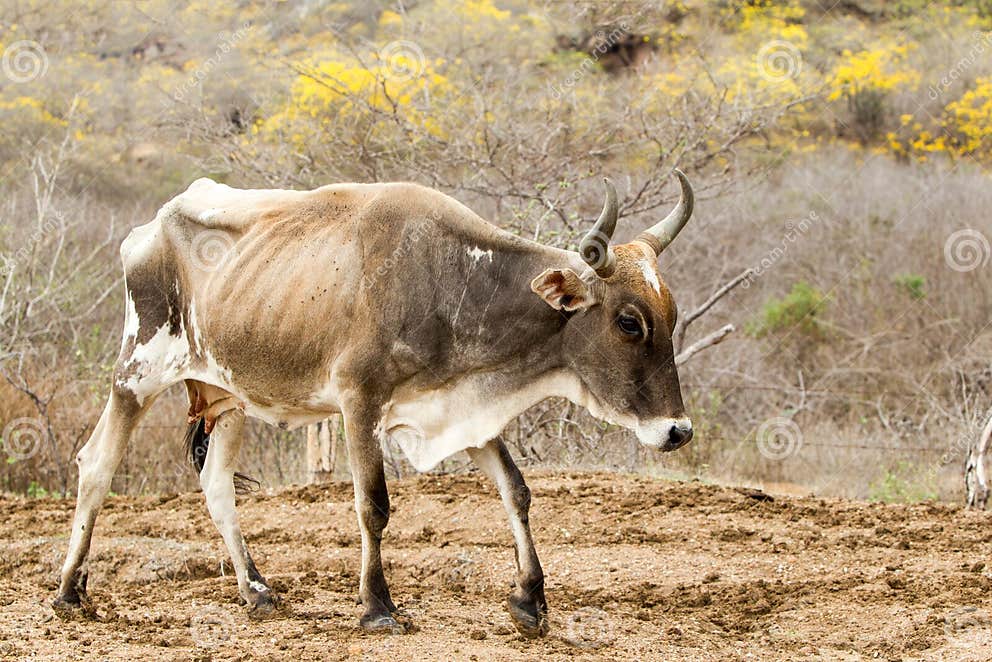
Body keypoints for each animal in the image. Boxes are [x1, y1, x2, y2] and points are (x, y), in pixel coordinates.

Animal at [53, 170, 696, 637]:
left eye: (671, 316)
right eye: (629, 321)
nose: (678, 431)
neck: (448, 276)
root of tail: (151, 227)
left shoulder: (462, 411)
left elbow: (516, 491)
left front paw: (530, 598)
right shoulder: (358, 402)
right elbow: (373, 506)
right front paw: (377, 605)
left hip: (227, 397)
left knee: (215, 485)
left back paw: (256, 590)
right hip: (137, 373)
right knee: (96, 465)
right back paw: (68, 592)